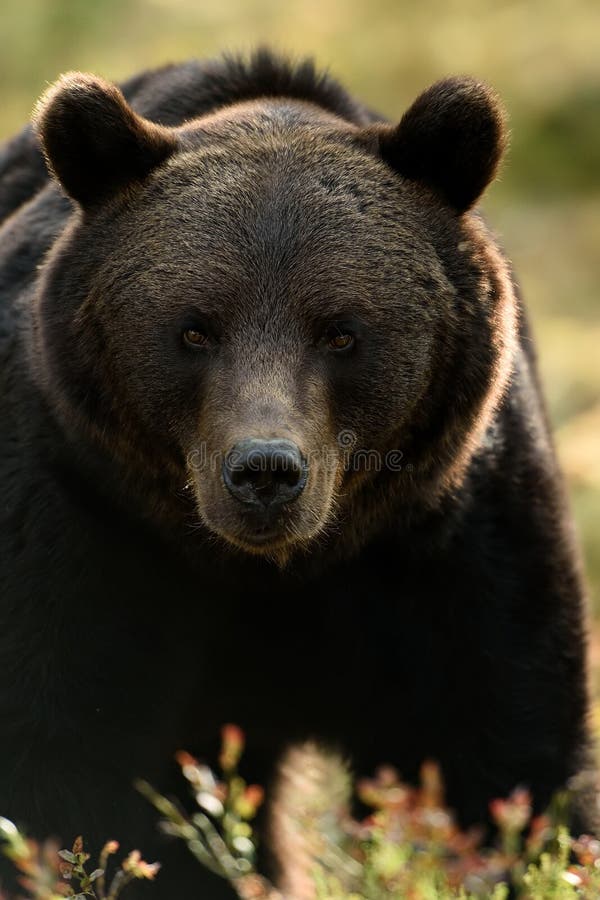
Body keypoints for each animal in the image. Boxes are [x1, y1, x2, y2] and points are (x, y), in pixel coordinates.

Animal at [0, 48, 595, 898]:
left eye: (342, 331)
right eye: (193, 329)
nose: (265, 472)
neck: (273, 573)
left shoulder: (451, 535)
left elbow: (498, 749)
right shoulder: (84, 521)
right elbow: (60, 756)